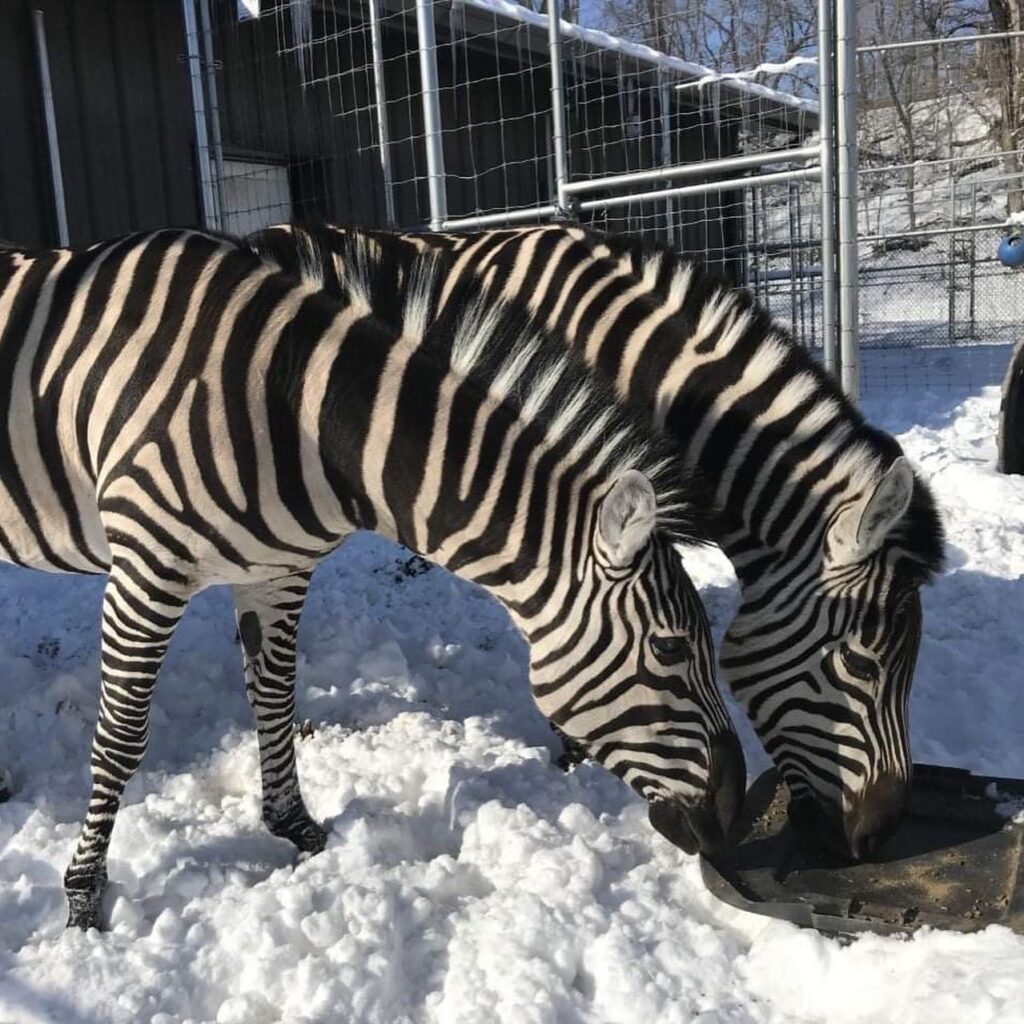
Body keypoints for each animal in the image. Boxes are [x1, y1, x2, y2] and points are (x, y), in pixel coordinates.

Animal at [0, 228, 744, 930]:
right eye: (671, 648)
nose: (733, 801)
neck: (297, 412)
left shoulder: (278, 571)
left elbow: (274, 700)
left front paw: (296, 828)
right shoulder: (147, 566)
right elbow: (122, 737)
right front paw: (84, 894)